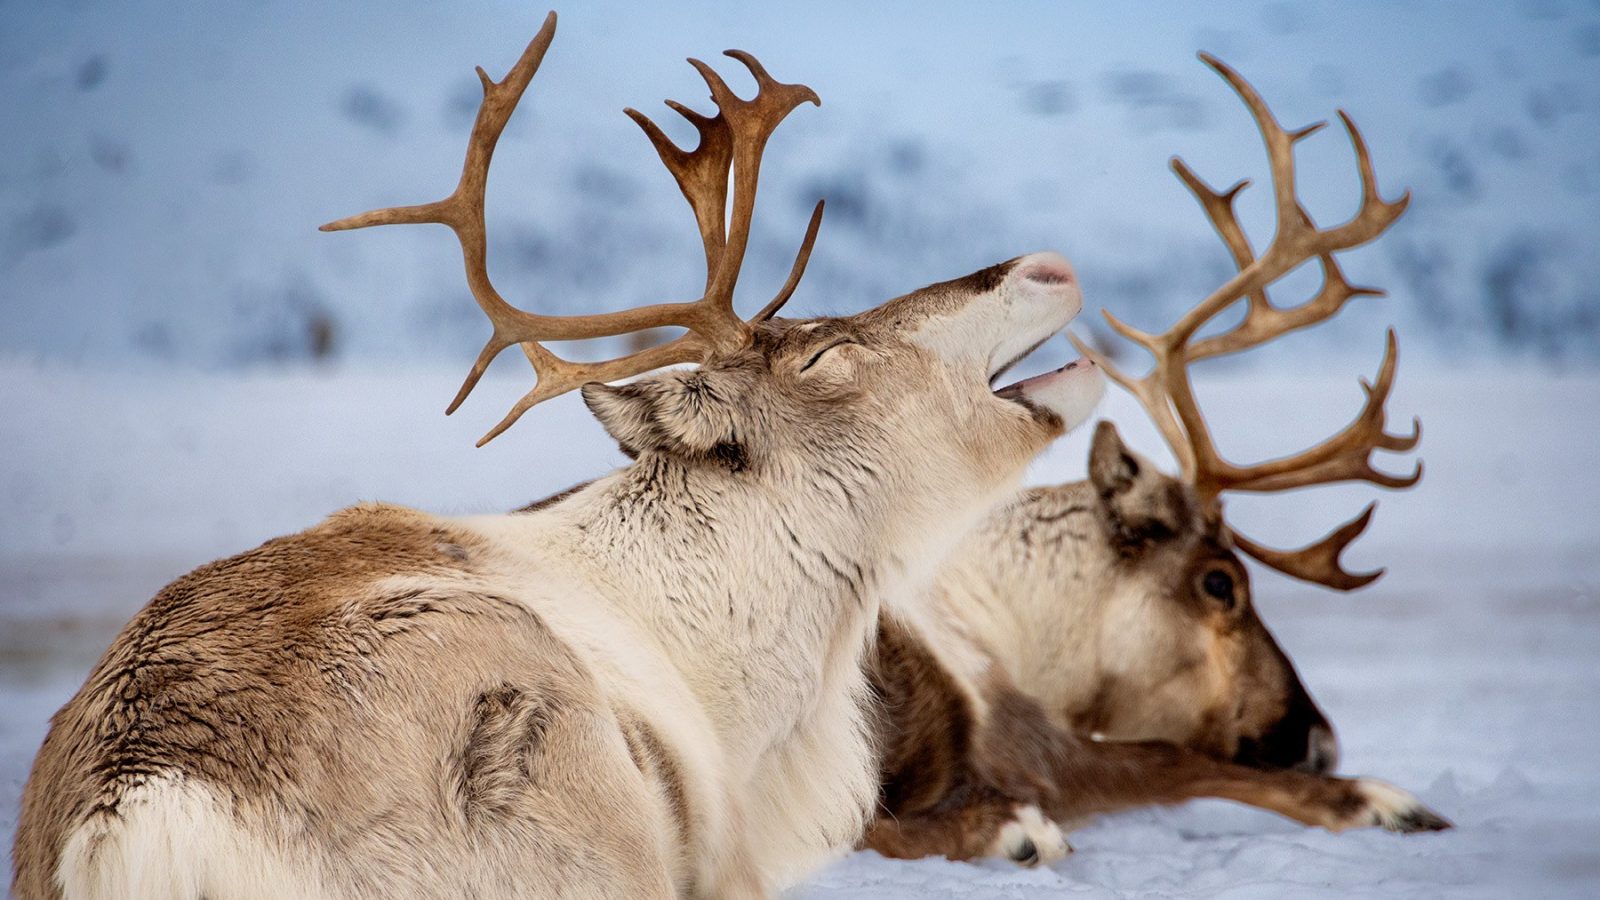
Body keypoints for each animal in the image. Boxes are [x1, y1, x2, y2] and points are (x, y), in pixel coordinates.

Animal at [857, 54, 1452, 867]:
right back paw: (1014, 832)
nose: (1319, 743)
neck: (1007, 622)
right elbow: (1178, 759)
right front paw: (1383, 800)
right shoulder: (1032, 740)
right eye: (1220, 582)